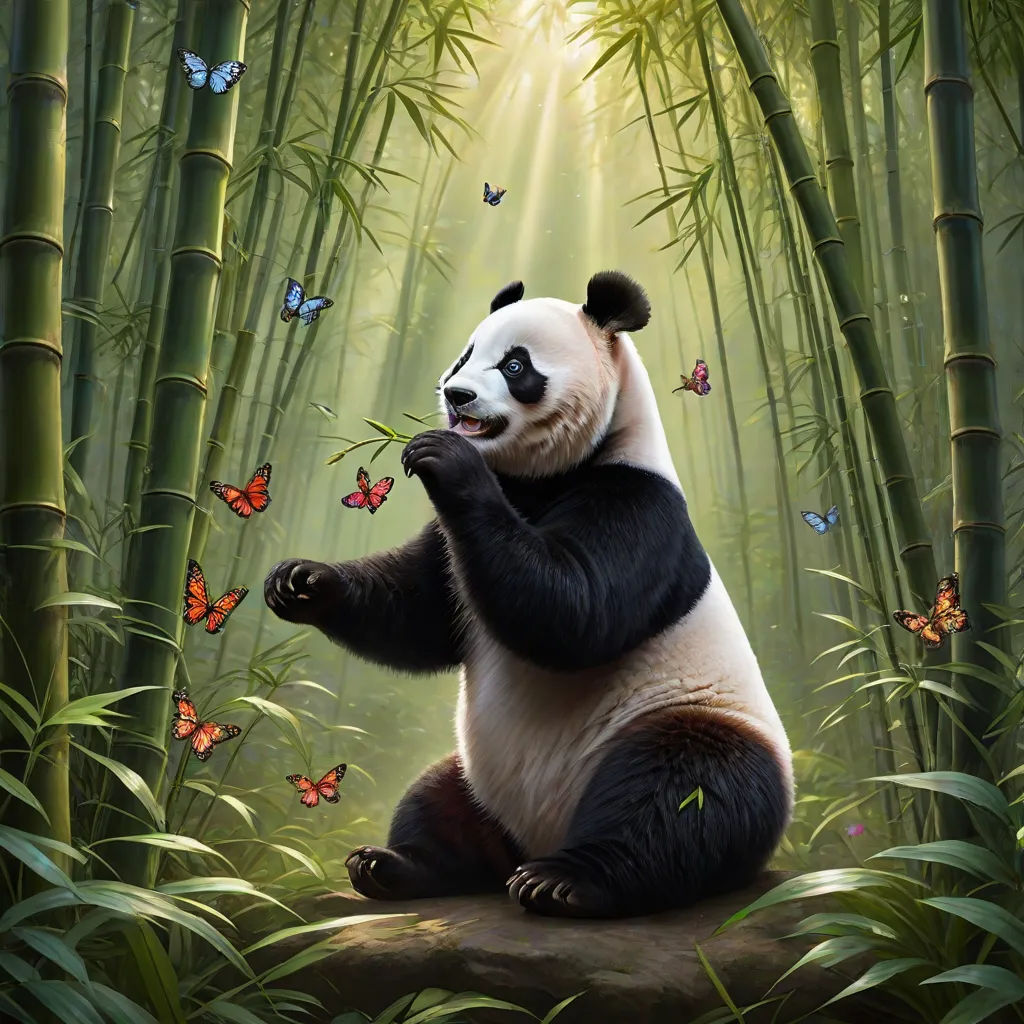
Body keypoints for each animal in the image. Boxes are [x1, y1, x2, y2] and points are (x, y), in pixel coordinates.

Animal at [264, 270, 793, 919]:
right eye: (466, 354)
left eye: (516, 366)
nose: (456, 395)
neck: (546, 478)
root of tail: (539, 837)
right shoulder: (461, 541)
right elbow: (419, 613)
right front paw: (302, 582)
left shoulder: (639, 506)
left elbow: (573, 612)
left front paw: (444, 458)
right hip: (478, 779)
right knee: (436, 798)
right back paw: (392, 866)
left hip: (682, 719)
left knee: (676, 793)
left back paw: (566, 882)